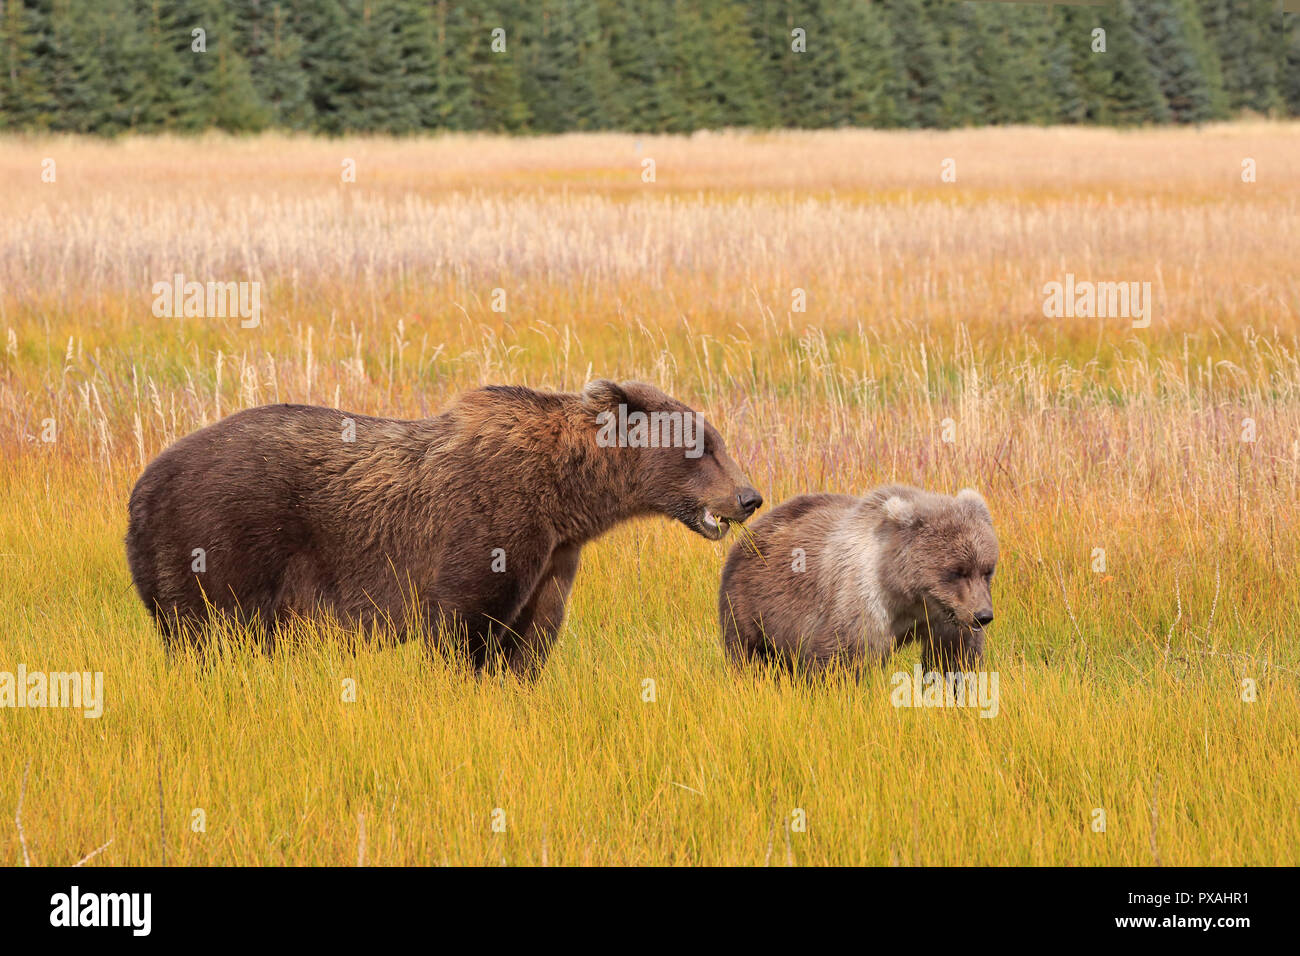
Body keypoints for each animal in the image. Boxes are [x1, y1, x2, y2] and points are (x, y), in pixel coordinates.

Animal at [126, 379, 762, 675]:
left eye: (717, 440)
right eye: (702, 447)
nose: (749, 497)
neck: (566, 497)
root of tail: (144, 483)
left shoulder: (553, 555)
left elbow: (529, 640)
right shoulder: (489, 526)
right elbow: (461, 625)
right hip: (215, 538)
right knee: (206, 634)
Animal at [718, 485, 997, 675]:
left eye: (986, 570)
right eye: (956, 571)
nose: (982, 615)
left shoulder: (947, 616)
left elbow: (953, 659)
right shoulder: (861, 601)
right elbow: (841, 658)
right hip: (751, 599)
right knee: (748, 653)